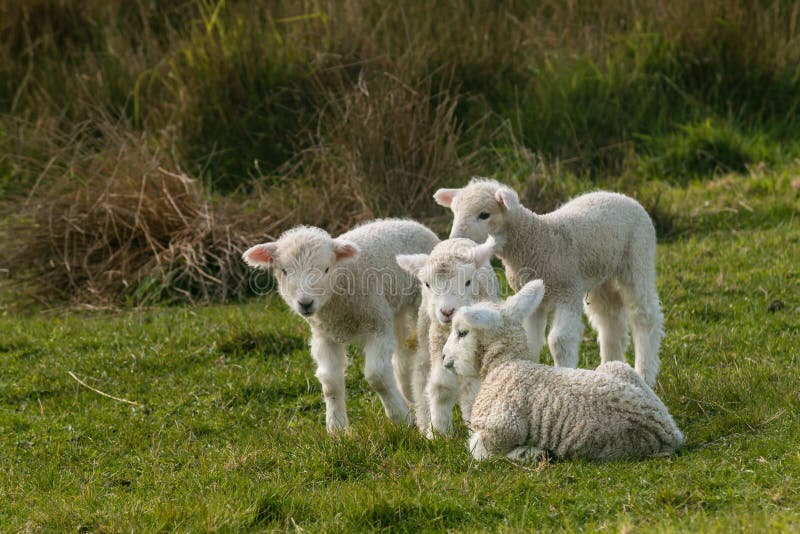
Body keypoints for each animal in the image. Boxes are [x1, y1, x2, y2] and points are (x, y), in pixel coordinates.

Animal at [243, 219, 439, 434]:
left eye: (326, 269)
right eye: (284, 271)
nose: (305, 303)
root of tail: (408, 221)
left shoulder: (377, 324)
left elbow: (377, 376)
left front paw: (401, 418)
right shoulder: (325, 335)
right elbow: (330, 383)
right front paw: (336, 427)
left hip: (416, 305)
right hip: (396, 310)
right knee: (403, 357)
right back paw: (409, 397)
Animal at [396, 237, 500, 438]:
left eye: (468, 282)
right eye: (427, 284)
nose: (447, 311)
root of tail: (455, 240)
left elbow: (471, 390)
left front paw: (473, 428)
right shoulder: (438, 345)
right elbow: (440, 387)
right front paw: (437, 433)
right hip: (425, 336)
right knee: (420, 378)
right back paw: (423, 422)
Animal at [435, 179, 664, 386]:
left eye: (484, 215)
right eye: (454, 213)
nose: (455, 242)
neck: (538, 239)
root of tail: (619, 194)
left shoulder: (568, 291)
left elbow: (560, 341)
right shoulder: (537, 299)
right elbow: (531, 341)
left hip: (638, 258)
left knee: (644, 316)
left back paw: (645, 374)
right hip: (602, 275)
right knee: (610, 319)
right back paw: (612, 366)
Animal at [442, 279, 683, 462]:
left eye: (462, 333)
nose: (444, 357)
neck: (504, 365)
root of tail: (668, 432)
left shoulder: (503, 425)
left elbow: (478, 450)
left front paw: (528, 453)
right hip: (617, 368)